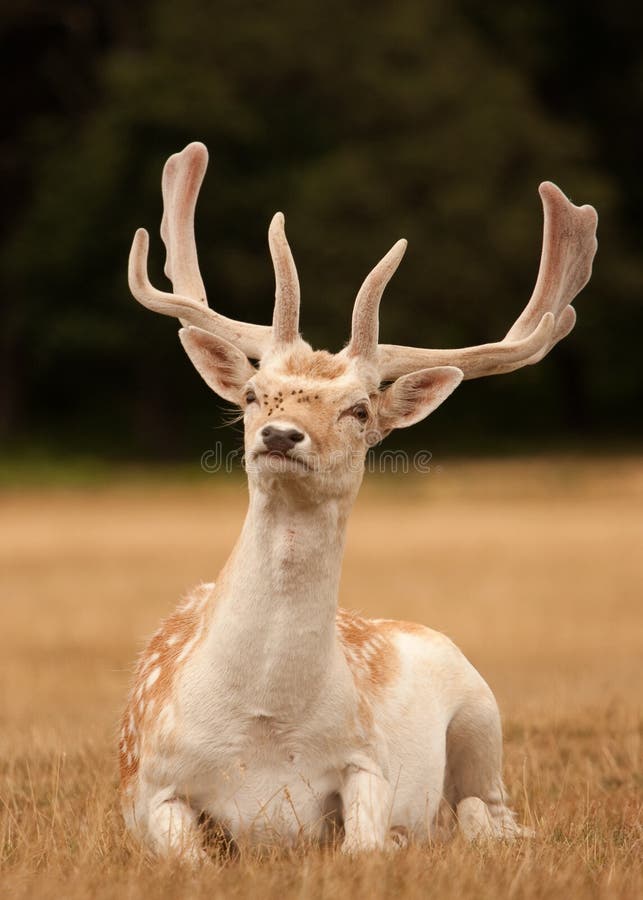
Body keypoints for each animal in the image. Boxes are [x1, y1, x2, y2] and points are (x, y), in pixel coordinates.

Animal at [119, 142, 600, 856]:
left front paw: (397, 839)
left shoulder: (366, 761)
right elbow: (190, 857)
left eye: (359, 408)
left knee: (491, 811)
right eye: (254, 393)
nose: (280, 435)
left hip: (482, 712)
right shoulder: (151, 783)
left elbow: (365, 843)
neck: (262, 725)